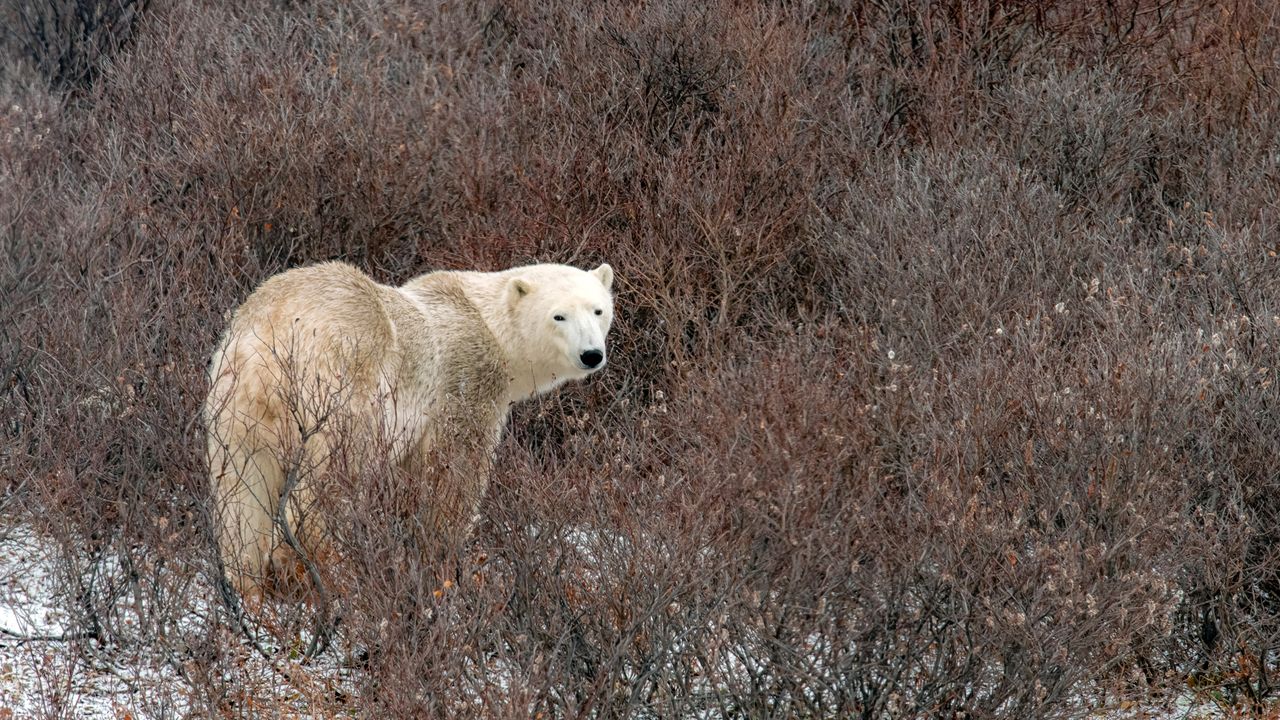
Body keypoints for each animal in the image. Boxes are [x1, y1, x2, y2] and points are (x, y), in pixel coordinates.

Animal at [203, 261, 615, 596]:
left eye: (598, 310)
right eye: (558, 316)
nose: (591, 354)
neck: (487, 324)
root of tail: (268, 340)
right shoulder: (466, 382)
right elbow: (455, 474)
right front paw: (446, 556)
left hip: (235, 406)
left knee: (241, 495)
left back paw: (251, 589)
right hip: (340, 386)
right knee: (330, 478)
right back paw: (325, 570)